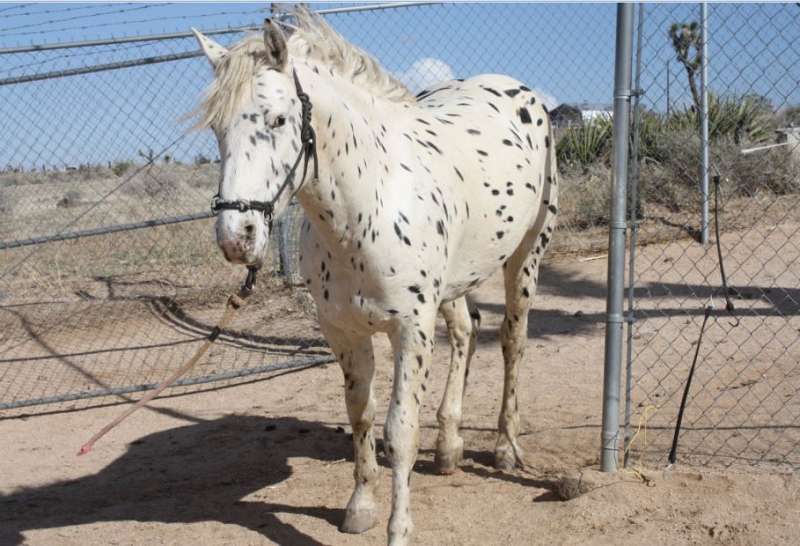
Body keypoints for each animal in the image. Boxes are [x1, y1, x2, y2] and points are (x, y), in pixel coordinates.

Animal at [191, 8, 557, 545]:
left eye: (277, 119)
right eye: (217, 129)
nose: (237, 238)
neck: (369, 206)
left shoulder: (411, 330)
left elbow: (399, 430)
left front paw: (398, 529)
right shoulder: (343, 332)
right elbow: (360, 415)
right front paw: (360, 506)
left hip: (527, 255)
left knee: (513, 341)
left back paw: (506, 447)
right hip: (456, 282)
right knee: (467, 332)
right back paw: (449, 447)